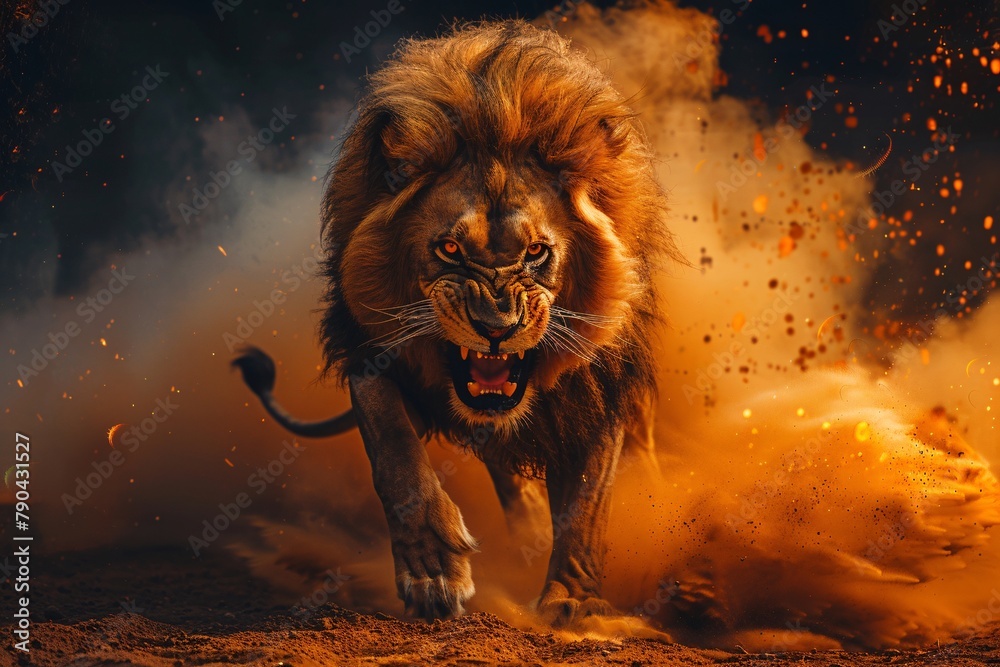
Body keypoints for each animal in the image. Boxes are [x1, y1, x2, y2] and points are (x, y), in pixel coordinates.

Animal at [233, 20, 677, 626]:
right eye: (449, 249)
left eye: (537, 252)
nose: (496, 327)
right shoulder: (371, 352)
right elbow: (397, 461)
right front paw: (432, 573)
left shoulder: (598, 385)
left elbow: (586, 508)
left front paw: (573, 603)